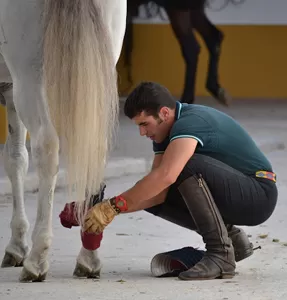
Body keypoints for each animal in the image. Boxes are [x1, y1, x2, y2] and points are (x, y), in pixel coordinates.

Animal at [0, 0, 127, 282]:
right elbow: (16, 159)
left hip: (30, 76)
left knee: (46, 147)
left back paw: (37, 260)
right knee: (96, 148)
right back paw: (88, 256)